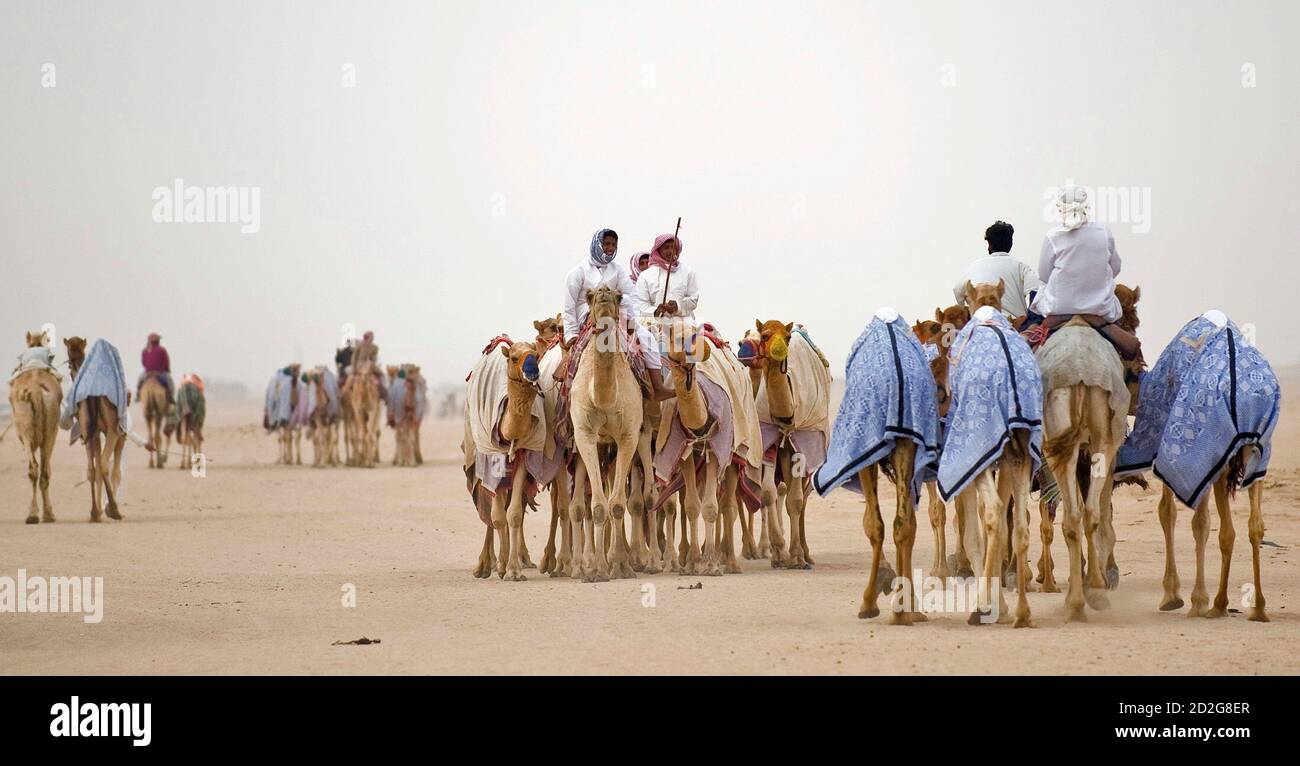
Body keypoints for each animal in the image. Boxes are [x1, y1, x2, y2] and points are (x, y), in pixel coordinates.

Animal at [9, 331, 62, 523]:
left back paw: (37, 514)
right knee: (43, 470)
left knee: (35, 468)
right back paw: (44, 514)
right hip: (49, 427)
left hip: (29, 430)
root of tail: (36, 390)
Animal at [567, 287, 644, 582]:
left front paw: (621, 565)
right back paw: (580, 565)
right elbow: (598, 506)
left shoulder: (628, 436)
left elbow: (617, 505)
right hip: (580, 447)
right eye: (589, 296)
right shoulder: (585, 434)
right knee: (579, 506)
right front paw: (597, 570)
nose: (603, 292)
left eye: (619, 295)